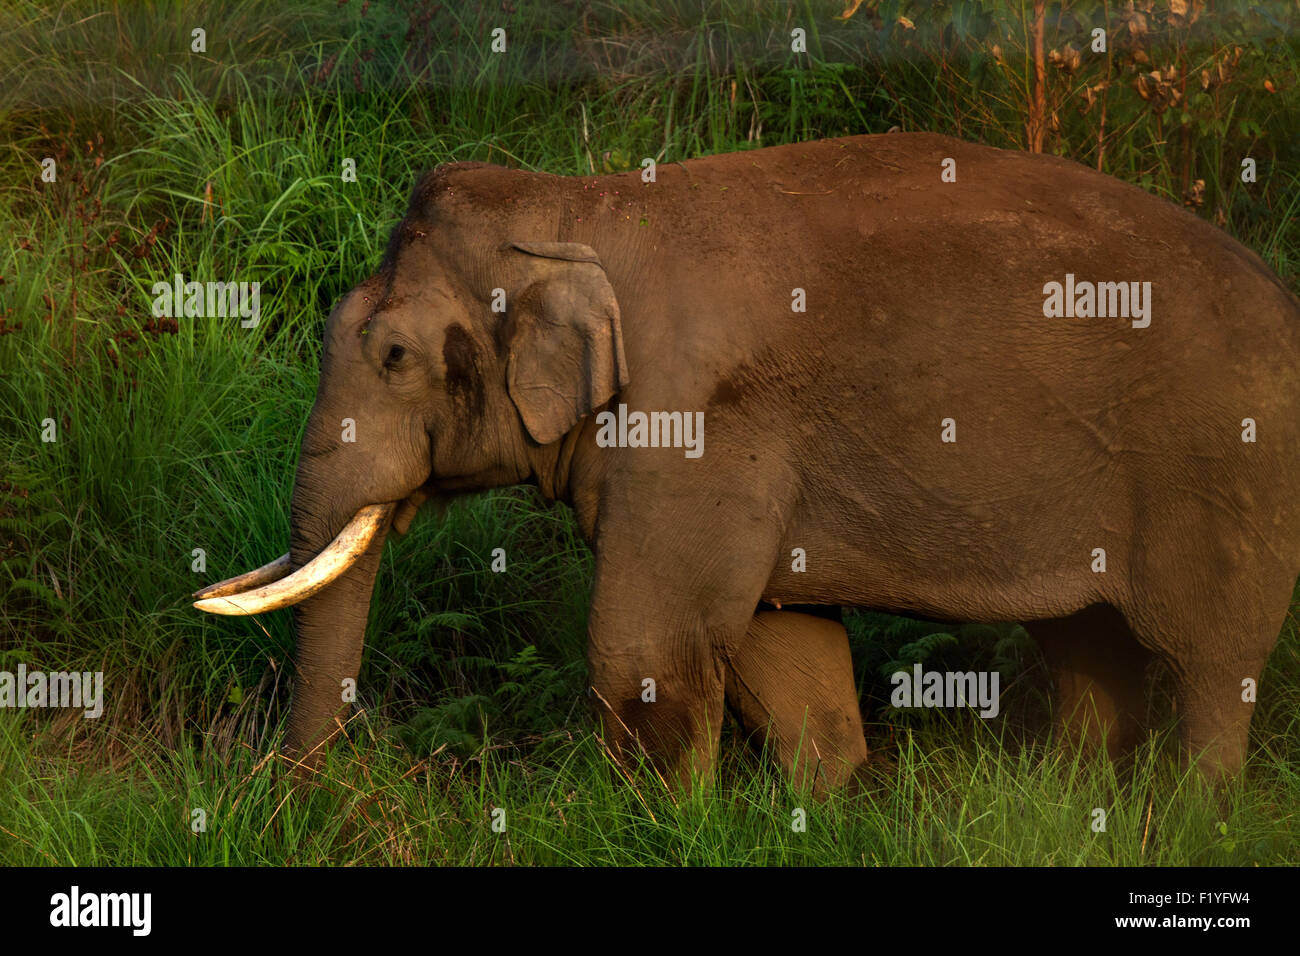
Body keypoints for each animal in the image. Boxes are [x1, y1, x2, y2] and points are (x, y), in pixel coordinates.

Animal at [195, 132, 1300, 788]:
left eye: (392, 355)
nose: (304, 799)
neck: (573, 209)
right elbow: (780, 633)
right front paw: (827, 799)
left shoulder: (690, 428)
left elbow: (645, 647)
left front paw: (661, 822)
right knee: (1088, 645)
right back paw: (1071, 802)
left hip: (1228, 474)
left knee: (1211, 663)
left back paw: (1192, 814)